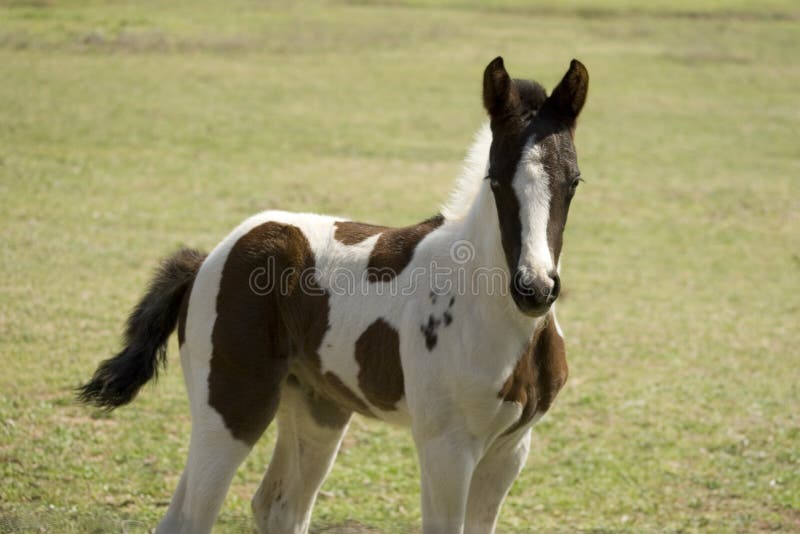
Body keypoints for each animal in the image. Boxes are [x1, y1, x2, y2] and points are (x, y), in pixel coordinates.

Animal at [78, 56, 589, 534]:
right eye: (496, 180)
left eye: (574, 182)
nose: (535, 288)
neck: (487, 310)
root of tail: (208, 259)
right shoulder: (446, 445)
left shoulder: (510, 447)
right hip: (230, 405)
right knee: (190, 515)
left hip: (315, 407)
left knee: (277, 507)